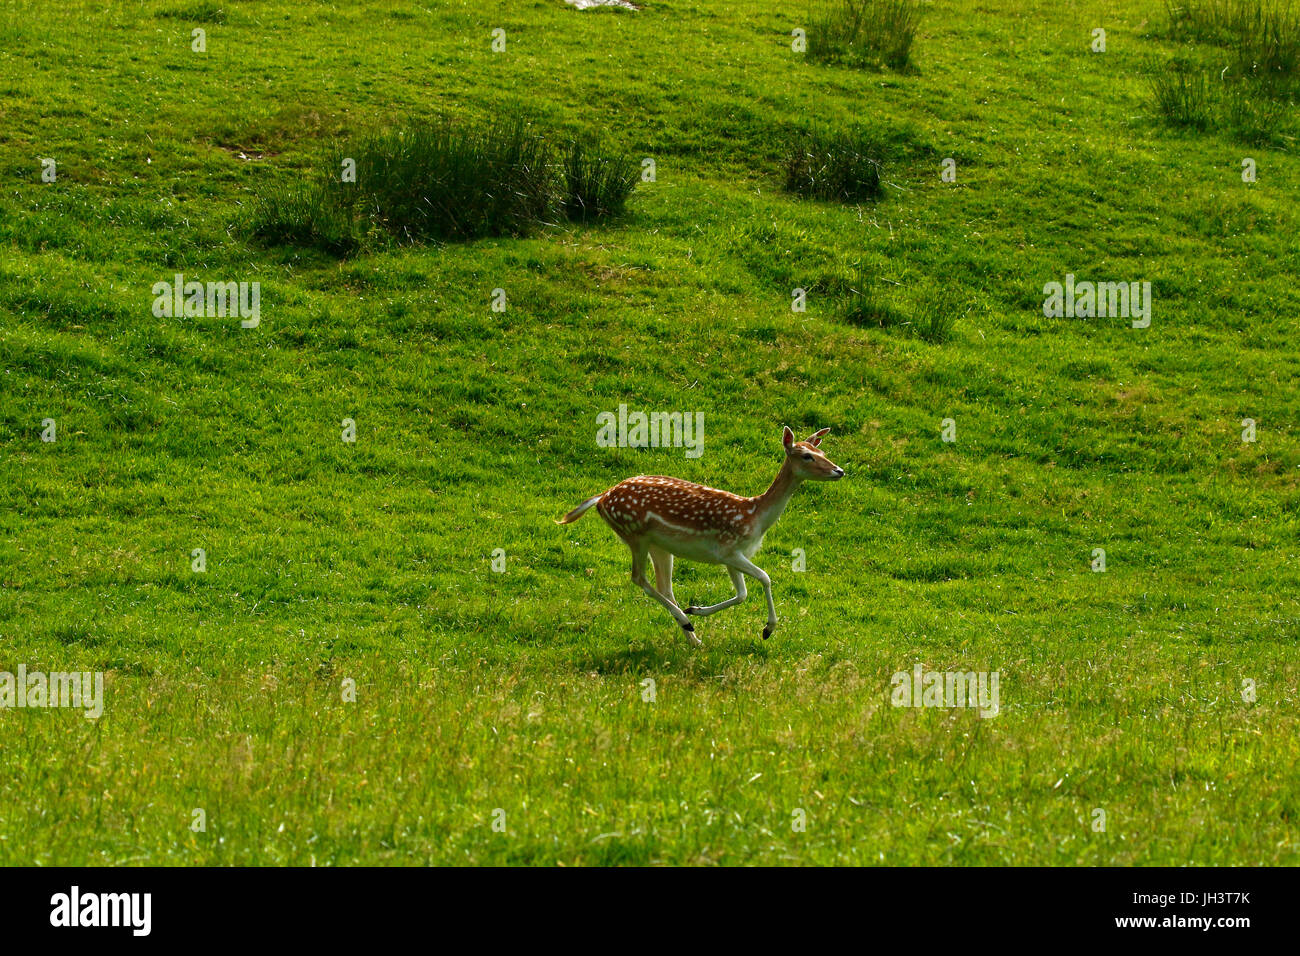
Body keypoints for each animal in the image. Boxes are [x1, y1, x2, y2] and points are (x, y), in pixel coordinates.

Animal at [556, 426, 844, 646]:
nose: (839, 471)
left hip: (659, 545)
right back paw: (687, 623)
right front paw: (768, 629)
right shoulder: (727, 550)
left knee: (664, 585)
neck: (754, 517)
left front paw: (697, 609)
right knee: (638, 578)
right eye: (806, 456)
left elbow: (742, 594)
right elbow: (765, 577)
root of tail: (601, 498)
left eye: (823, 452)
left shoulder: (732, 556)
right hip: (633, 533)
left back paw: (693, 636)